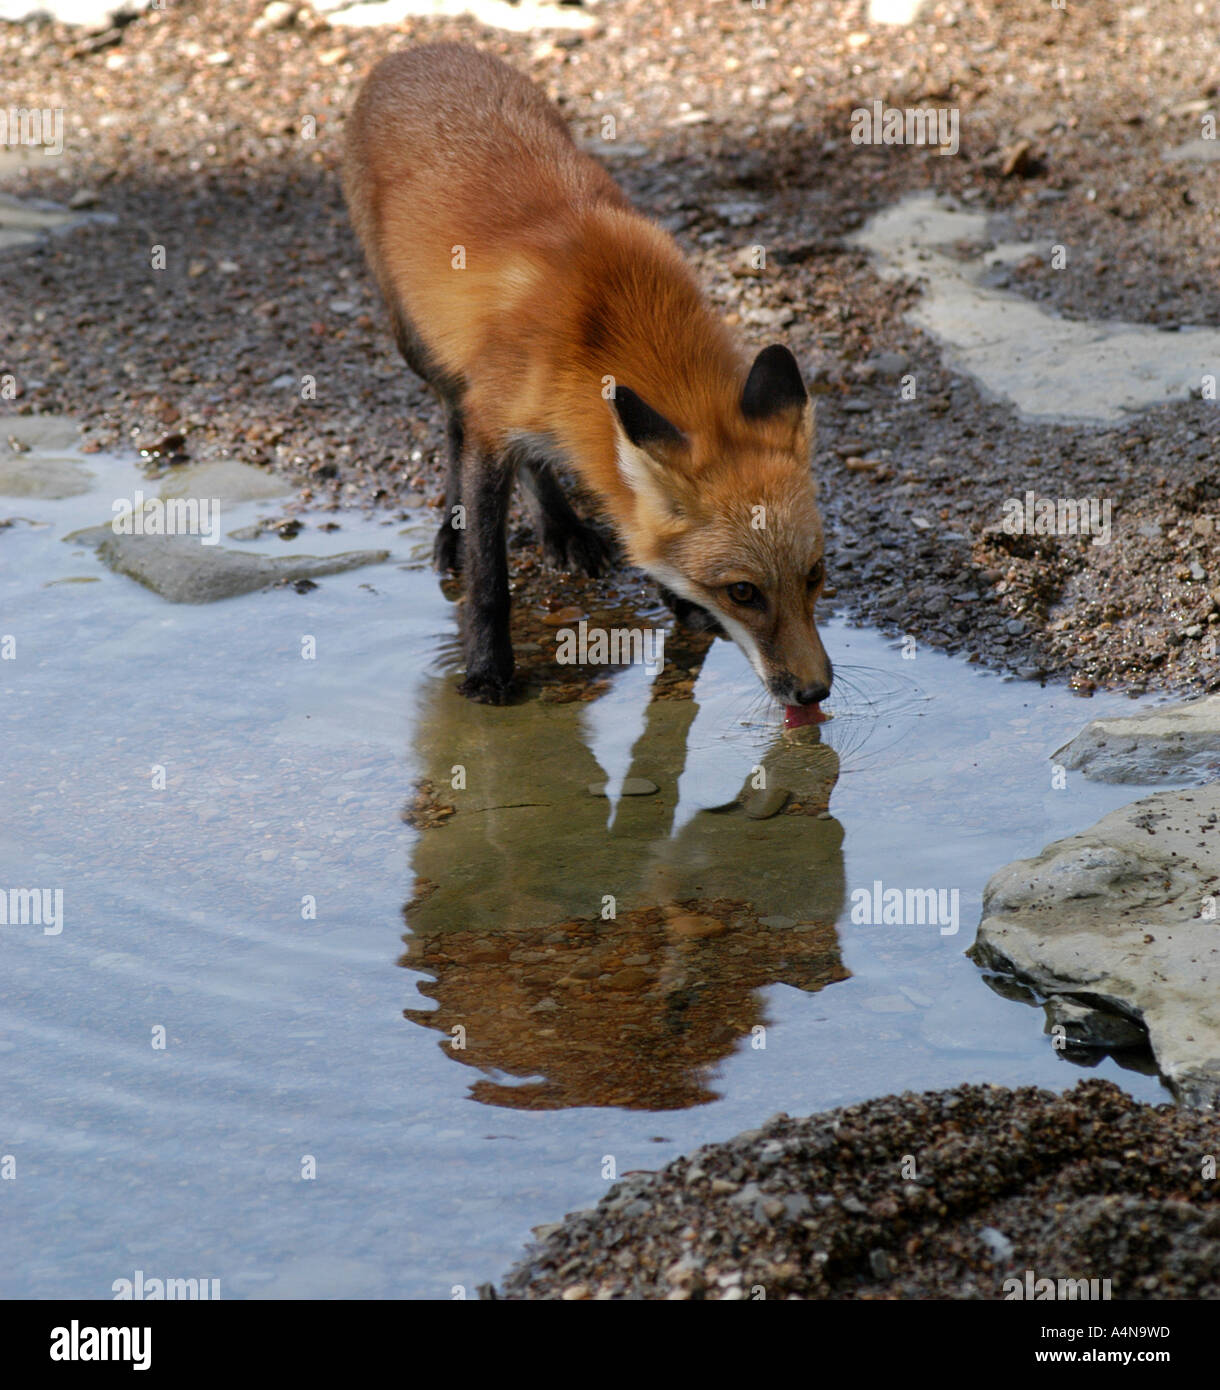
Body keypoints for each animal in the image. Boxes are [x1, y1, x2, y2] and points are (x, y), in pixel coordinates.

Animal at [342, 43, 833, 718]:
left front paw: (673, 596)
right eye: (742, 592)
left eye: (814, 574)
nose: (814, 692)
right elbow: (490, 579)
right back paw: (454, 530)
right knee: (451, 419)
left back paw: (563, 530)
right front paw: (488, 670)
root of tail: (419, 50)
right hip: (418, 345)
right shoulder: (492, 421)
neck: (605, 323)